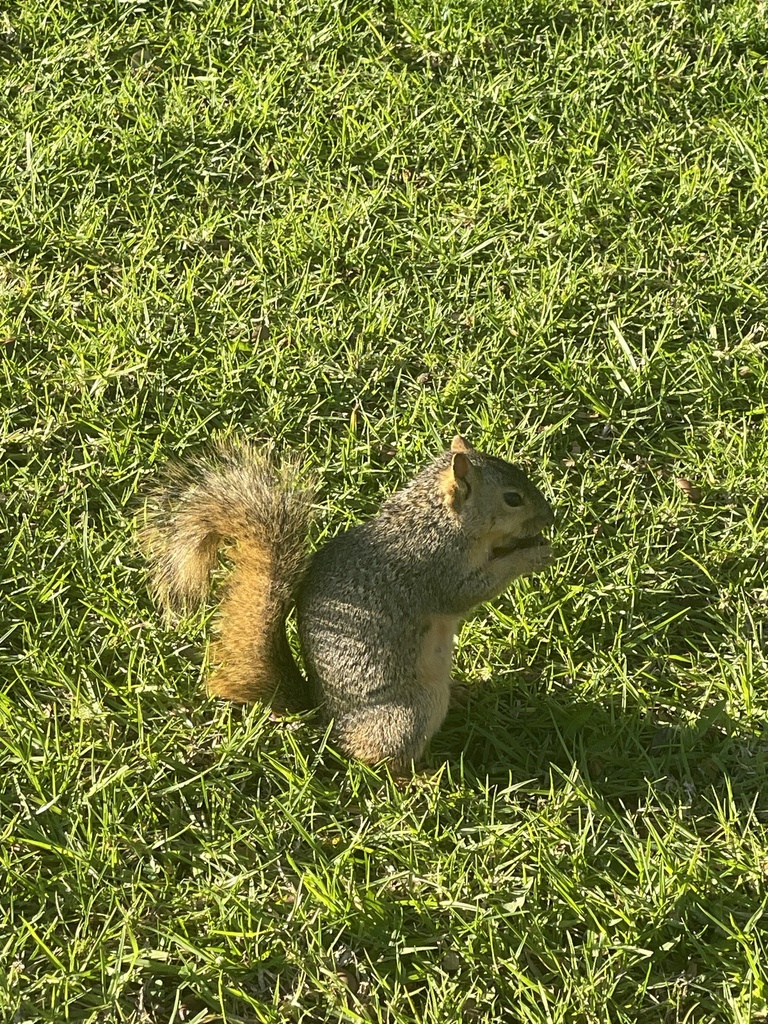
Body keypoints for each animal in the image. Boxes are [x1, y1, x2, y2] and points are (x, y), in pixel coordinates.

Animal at [140, 435, 554, 774]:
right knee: (379, 761)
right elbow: (468, 591)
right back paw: (419, 782)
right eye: (513, 498)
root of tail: (327, 722)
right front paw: (533, 556)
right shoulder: (438, 566)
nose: (552, 517)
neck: (435, 517)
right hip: (409, 715)